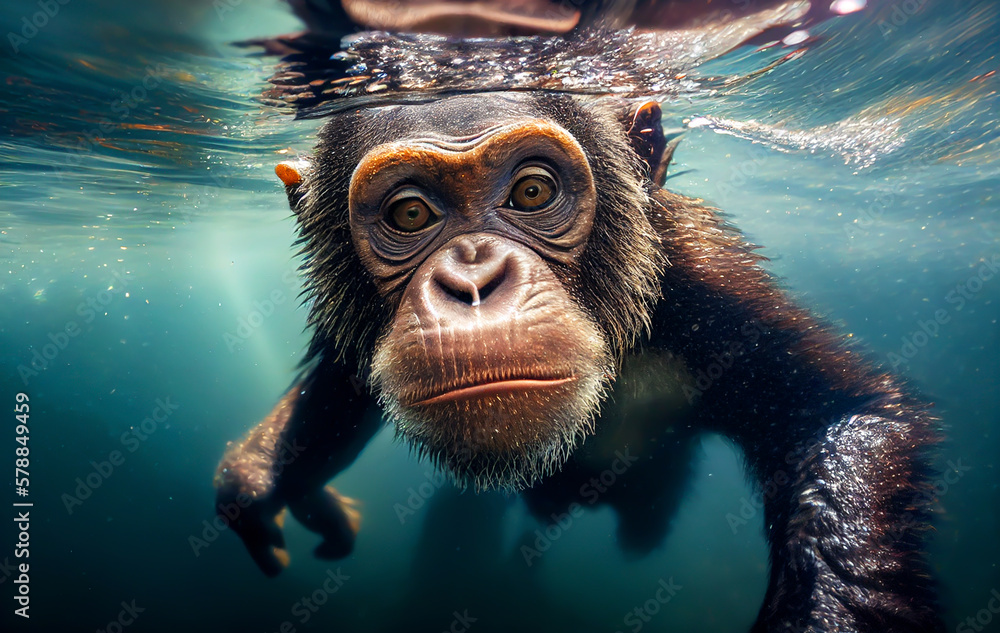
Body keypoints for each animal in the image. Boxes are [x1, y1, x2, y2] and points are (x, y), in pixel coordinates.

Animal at [214, 90, 943, 632]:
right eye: (411, 212)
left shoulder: (709, 279)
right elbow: (338, 390)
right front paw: (268, 484)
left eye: (533, 193)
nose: (473, 281)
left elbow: (835, 416)